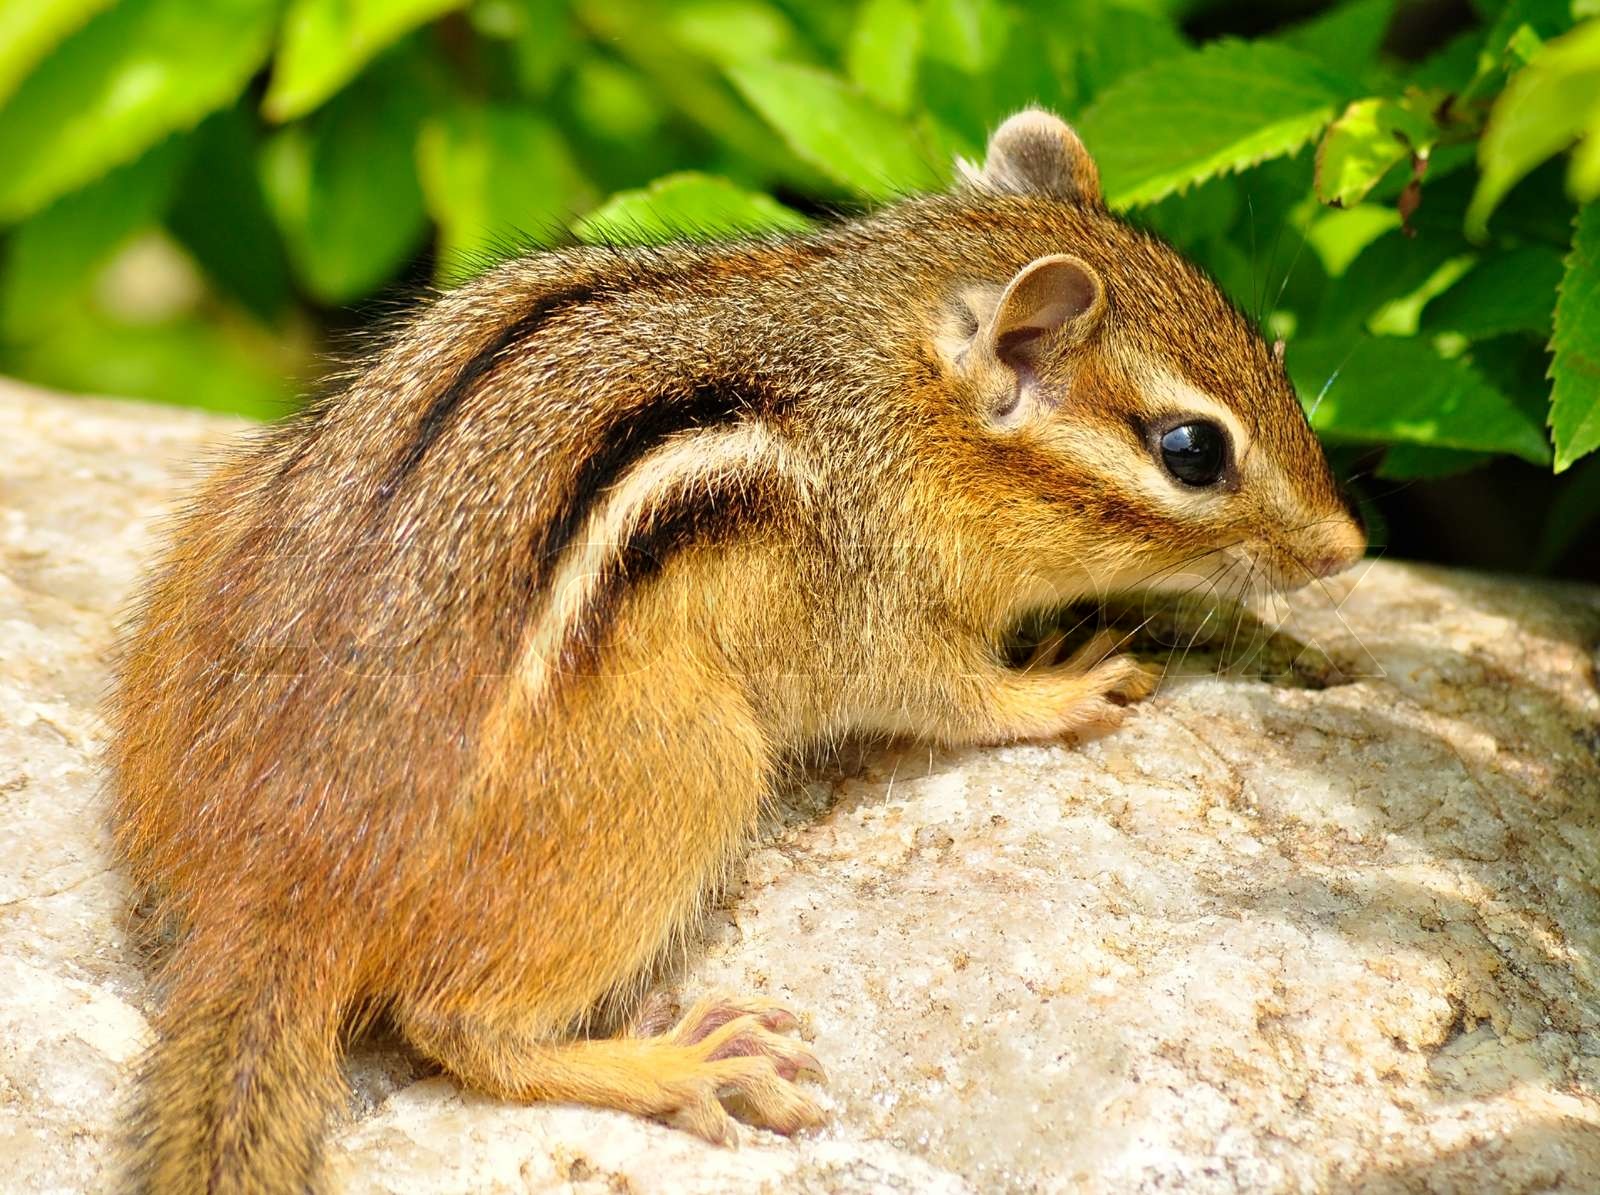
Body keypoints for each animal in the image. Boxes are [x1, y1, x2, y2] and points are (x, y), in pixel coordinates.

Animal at [107, 108, 1366, 1192]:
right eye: (1192, 450)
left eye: (1265, 344)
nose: (1347, 546)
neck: (897, 393)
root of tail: (278, 885)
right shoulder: (877, 606)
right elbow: (952, 694)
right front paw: (1060, 683)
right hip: (690, 763)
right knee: (457, 1026)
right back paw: (677, 1062)